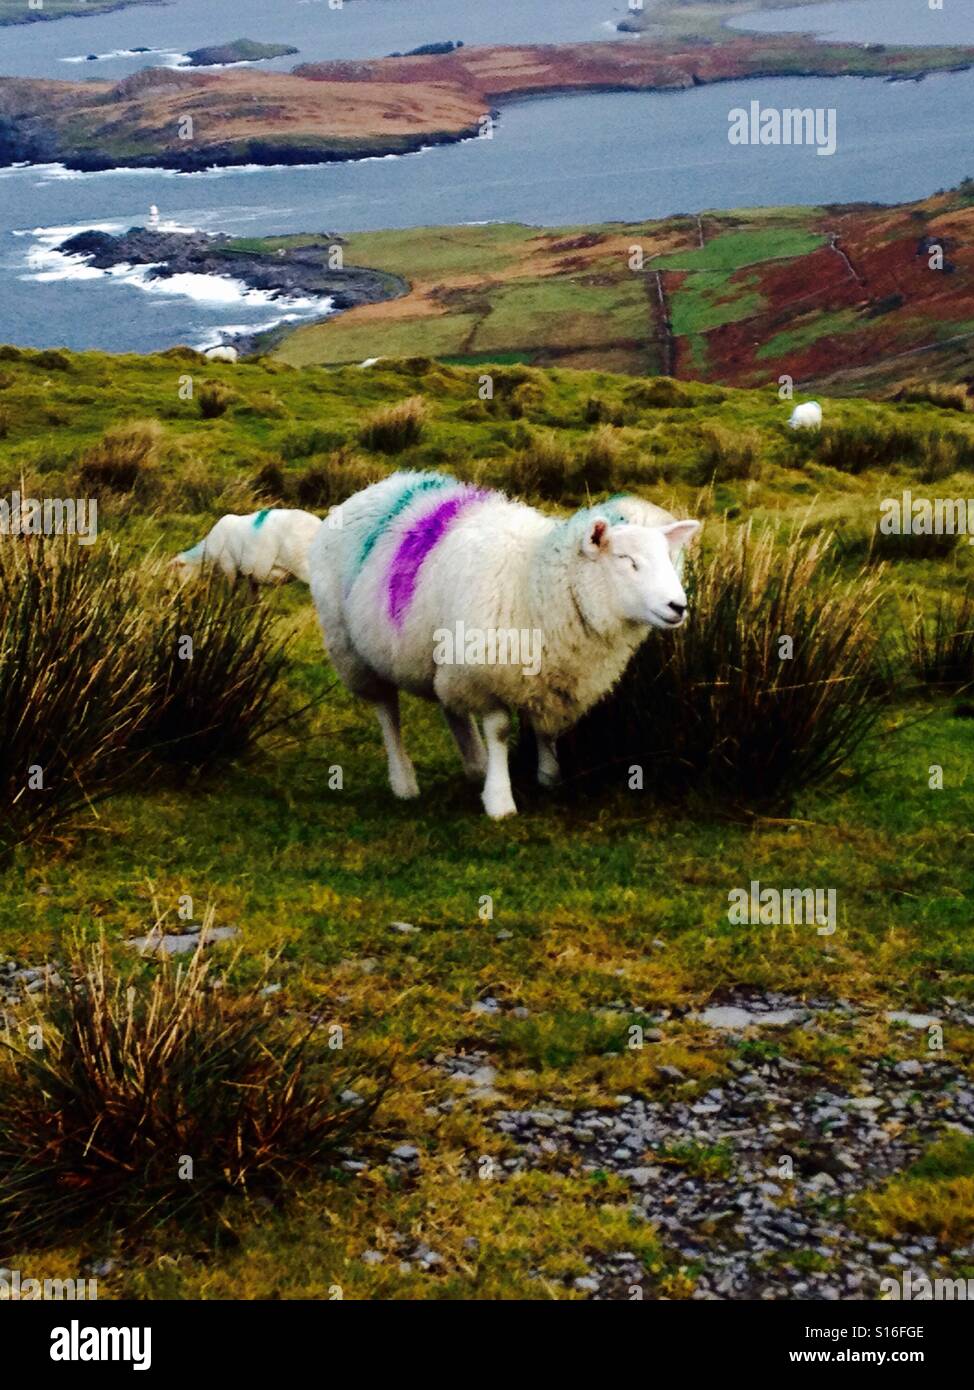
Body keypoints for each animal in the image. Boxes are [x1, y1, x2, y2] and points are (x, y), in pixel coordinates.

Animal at [308, 472, 700, 818]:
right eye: (628, 561)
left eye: (671, 559)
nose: (678, 607)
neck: (534, 581)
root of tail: (373, 488)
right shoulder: (487, 674)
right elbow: (499, 730)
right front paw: (500, 801)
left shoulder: (553, 675)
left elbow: (547, 728)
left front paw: (549, 776)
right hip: (353, 650)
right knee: (388, 711)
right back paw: (404, 781)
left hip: (441, 652)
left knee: (449, 705)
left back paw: (475, 764)